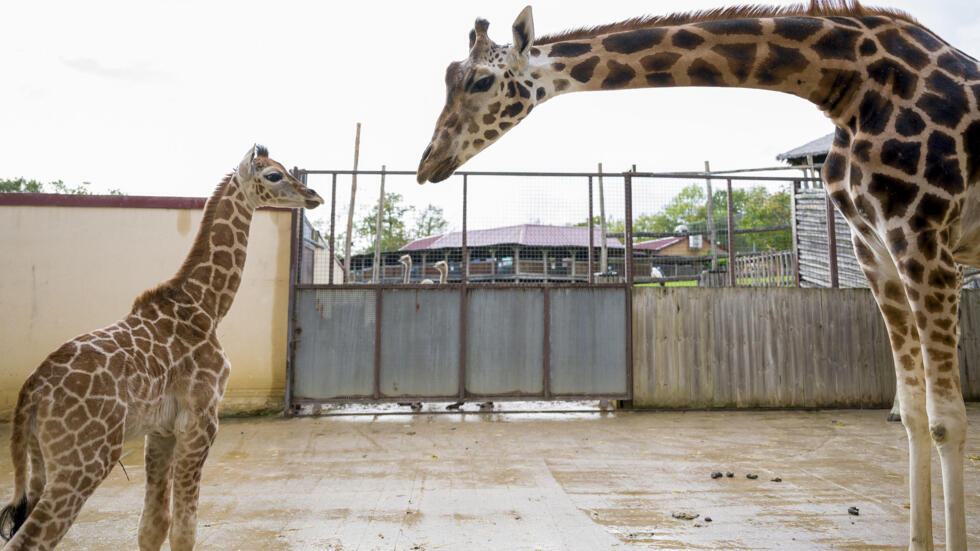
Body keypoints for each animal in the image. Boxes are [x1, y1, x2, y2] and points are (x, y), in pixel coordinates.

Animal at [0, 145, 323, 550]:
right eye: (274, 175)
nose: (313, 196)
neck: (206, 307)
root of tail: (31, 391)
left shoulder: (161, 430)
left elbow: (152, 527)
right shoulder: (201, 420)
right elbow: (185, 530)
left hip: (40, 462)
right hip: (84, 460)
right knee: (30, 539)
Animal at [415, 3, 978, 549]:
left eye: (480, 81)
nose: (428, 162)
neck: (846, 84)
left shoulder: (924, 239)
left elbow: (947, 421)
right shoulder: (874, 249)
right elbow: (914, 416)